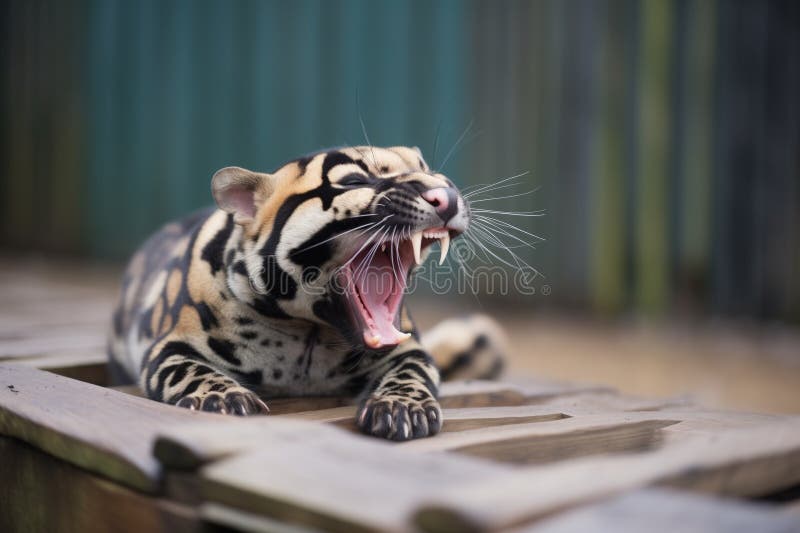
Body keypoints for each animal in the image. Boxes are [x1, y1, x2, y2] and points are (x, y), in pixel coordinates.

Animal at [108, 146, 506, 441]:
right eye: (356, 180)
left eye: (436, 174)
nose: (447, 195)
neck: (308, 336)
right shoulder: (171, 344)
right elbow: (188, 369)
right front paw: (222, 397)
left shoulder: (408, 348)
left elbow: (413, 372)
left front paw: (402, 406)